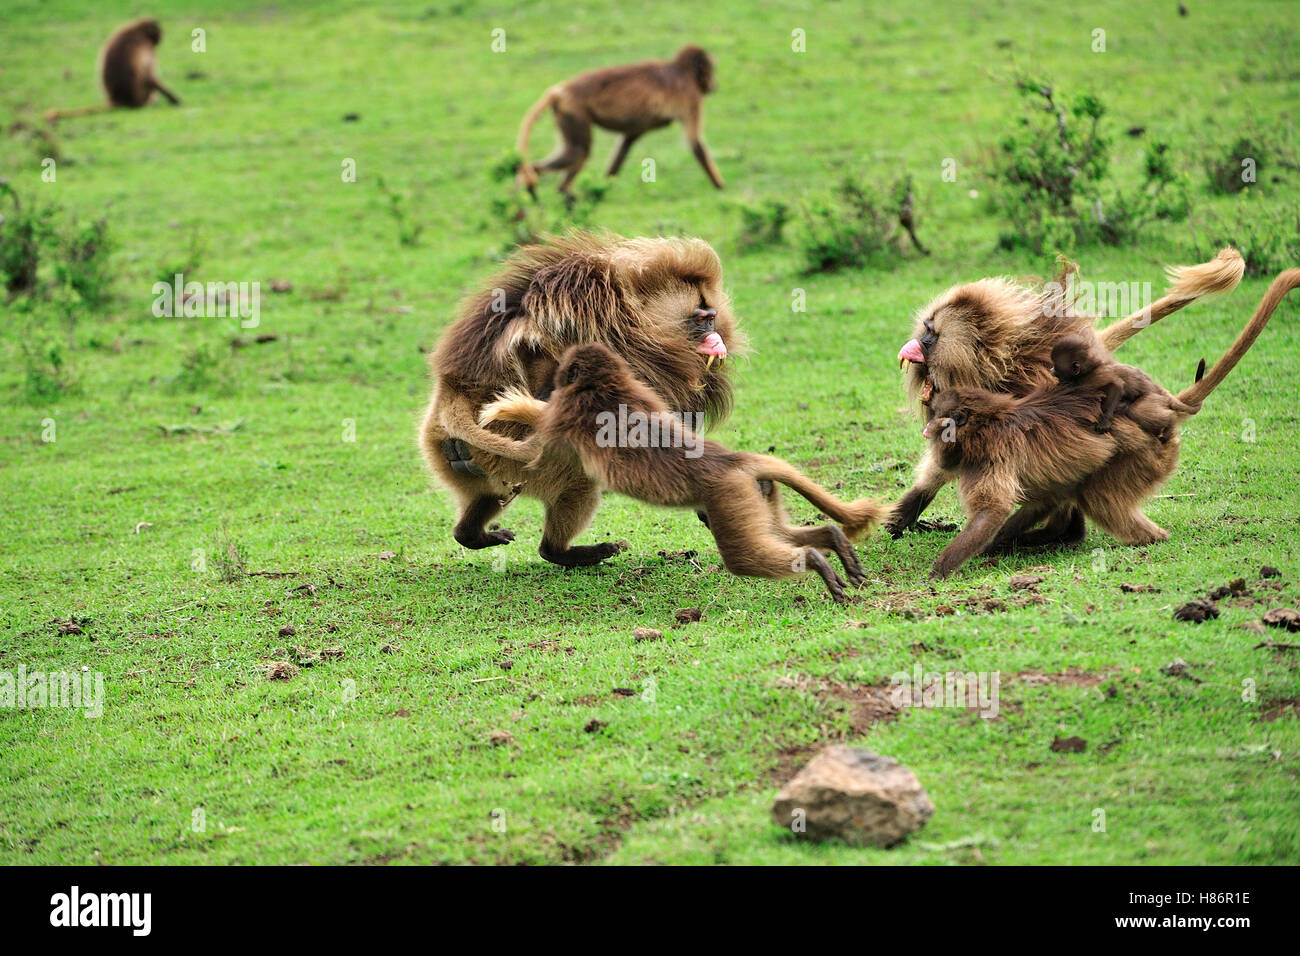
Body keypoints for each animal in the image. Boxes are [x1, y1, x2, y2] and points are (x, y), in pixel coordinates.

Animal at [44, 19, 180, 123]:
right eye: (159, 33)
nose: (160, 38)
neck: (137, 30)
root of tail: (119, 100)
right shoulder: (148, 48)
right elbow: (148, 76)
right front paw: (174, 99)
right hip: (143, 98)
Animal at [419, 232, 743, 569]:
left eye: (711, 319)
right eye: (699, 320)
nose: (715, 338)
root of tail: (452, 393)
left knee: (478, 506)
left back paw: (472, 534)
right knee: (576, 485)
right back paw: (567, 551)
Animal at [479, 343, 883, 602]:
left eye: (563, 376)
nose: (553, 383)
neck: (607, 385)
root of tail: (734, 461)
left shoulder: (567, 412)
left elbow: (536, 448)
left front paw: (505, 415)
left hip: (728, 496)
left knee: (743, 556)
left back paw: (814, 560)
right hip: (754, 493)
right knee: (778, 533)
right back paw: (832, 541)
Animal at [515, 45, 725, 197]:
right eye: (711, 70)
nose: (714, 85)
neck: (681, 69)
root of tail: (561, 90)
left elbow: (627, 142)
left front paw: (603, 186)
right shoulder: (691, 96)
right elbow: (695, 143)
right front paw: (720, 186)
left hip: (565, 114)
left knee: (574, 151)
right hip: (574, 112)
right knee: (579, 151)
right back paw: (559, 190)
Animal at [1050, 334, 1197, 442]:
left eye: (1056, 367)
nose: (1051, 370)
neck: (1086, 371)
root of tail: (1157, 388)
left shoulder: (1093, 378)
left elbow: (1116, 385)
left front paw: (1105, 420)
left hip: (1152, 397)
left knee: (1138, 411)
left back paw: (1171, 421)